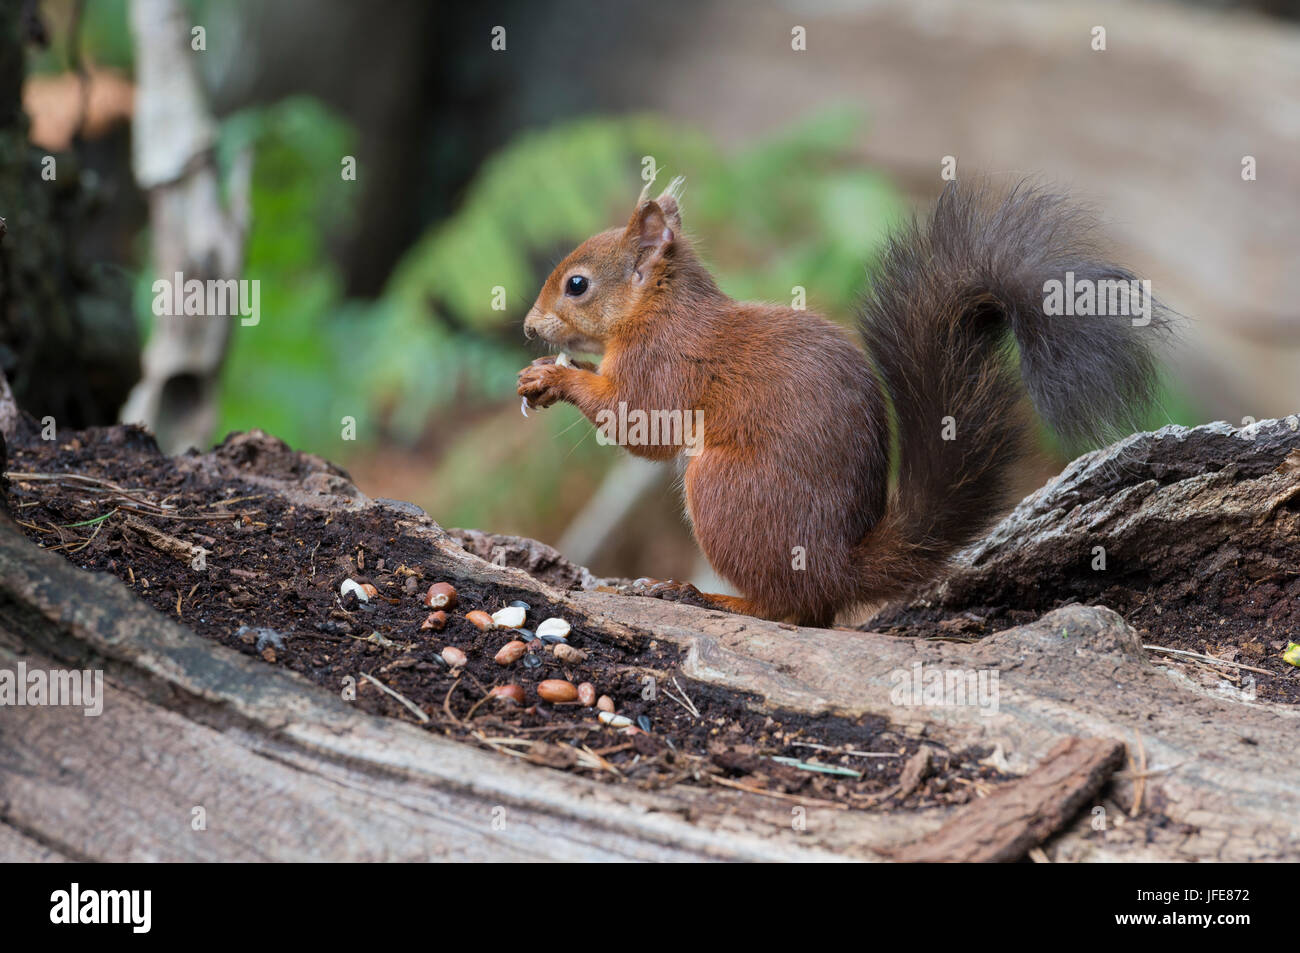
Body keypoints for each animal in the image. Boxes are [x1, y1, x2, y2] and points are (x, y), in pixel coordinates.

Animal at [517, 177, 1167, 627]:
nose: (527, 326)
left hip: (725, 489)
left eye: (577, 284)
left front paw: (559, 379)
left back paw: (706, 596)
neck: (659, 309)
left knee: (792, 608)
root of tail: (838, 565)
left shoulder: (665, 364)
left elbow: (640, 427)